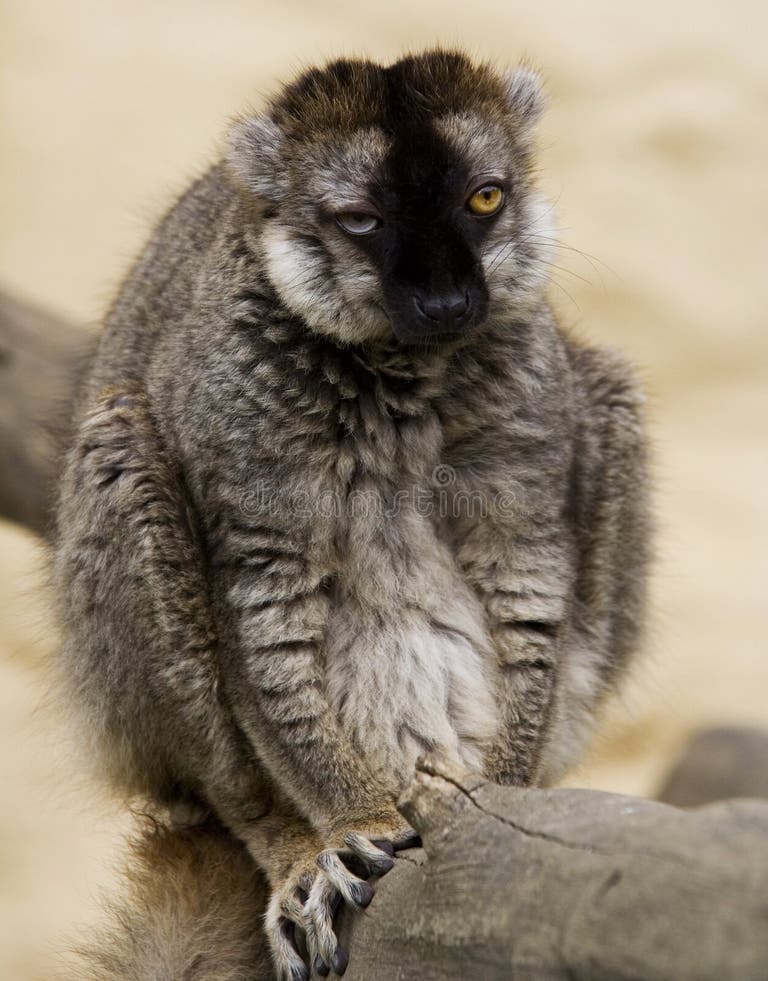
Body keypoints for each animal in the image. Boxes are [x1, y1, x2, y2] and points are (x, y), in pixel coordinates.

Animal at [53, 49, 650, 980]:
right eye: (362, 221)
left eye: (485, 198)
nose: (447, 303)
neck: (403, 366)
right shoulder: (239, 410)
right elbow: (262, 607)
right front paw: (345, 823)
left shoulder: (528, 389)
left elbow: (526, 577)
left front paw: (504, 790)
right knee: (121, 446)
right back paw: (282, 837)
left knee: (610, 399)